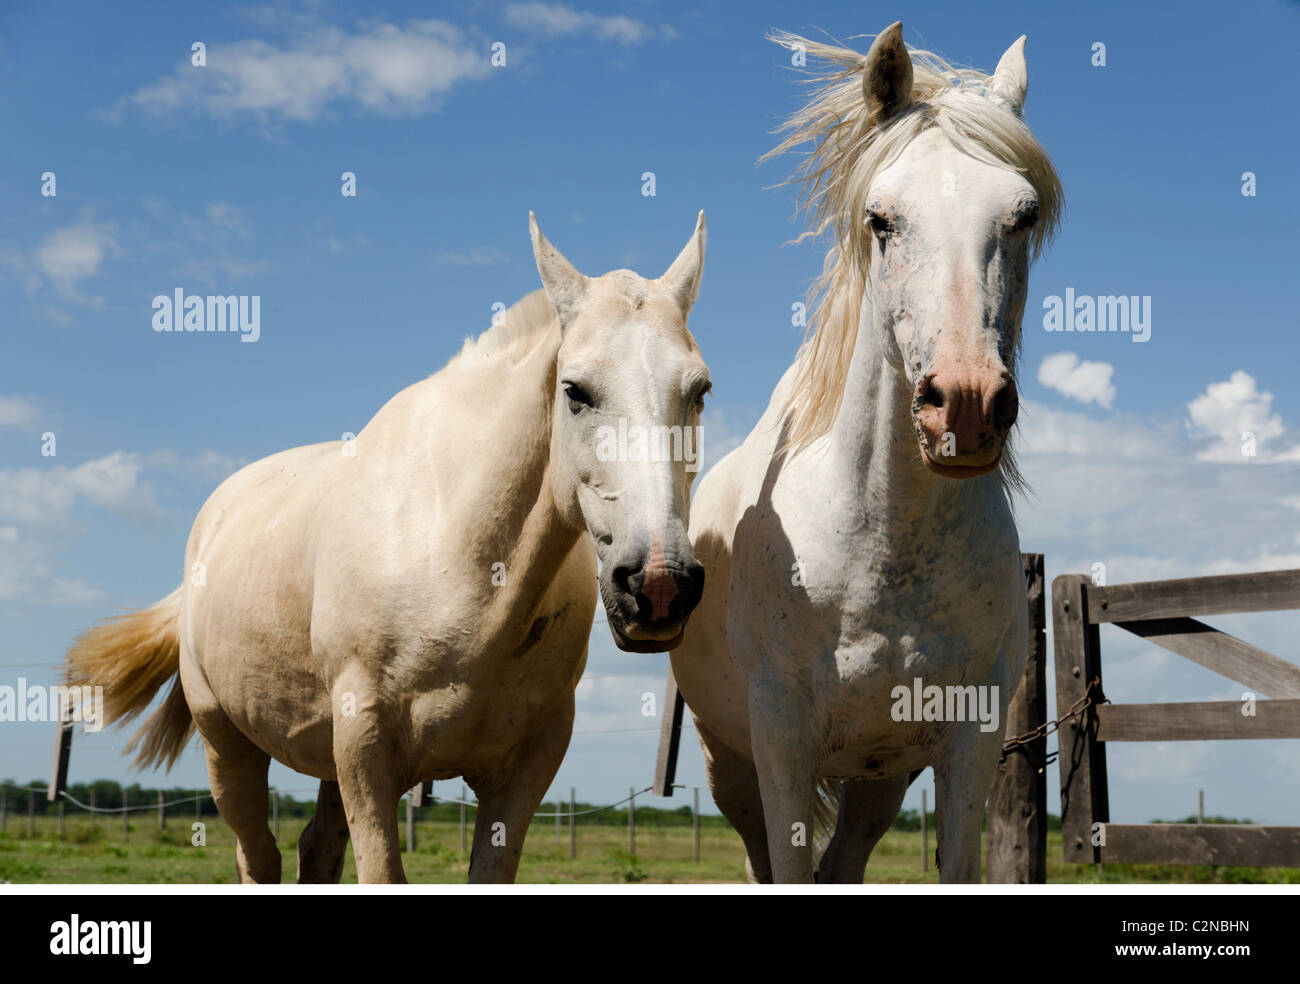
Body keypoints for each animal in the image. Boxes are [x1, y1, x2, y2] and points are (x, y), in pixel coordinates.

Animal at [63, 212, 712, 883]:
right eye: (575, 390)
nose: (659, 584)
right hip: (229, 744)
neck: (459, 559)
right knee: (258, 854)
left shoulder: (523, 770)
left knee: (315, 848)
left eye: (700, 390)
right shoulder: (366, 752)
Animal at [669, 23, 1062, 882]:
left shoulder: (967, 744)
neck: (881, 545)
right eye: (882, 220)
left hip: (879, 779)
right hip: (731, 766)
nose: (966, 406)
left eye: (1021, 216)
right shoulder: (780, 744)